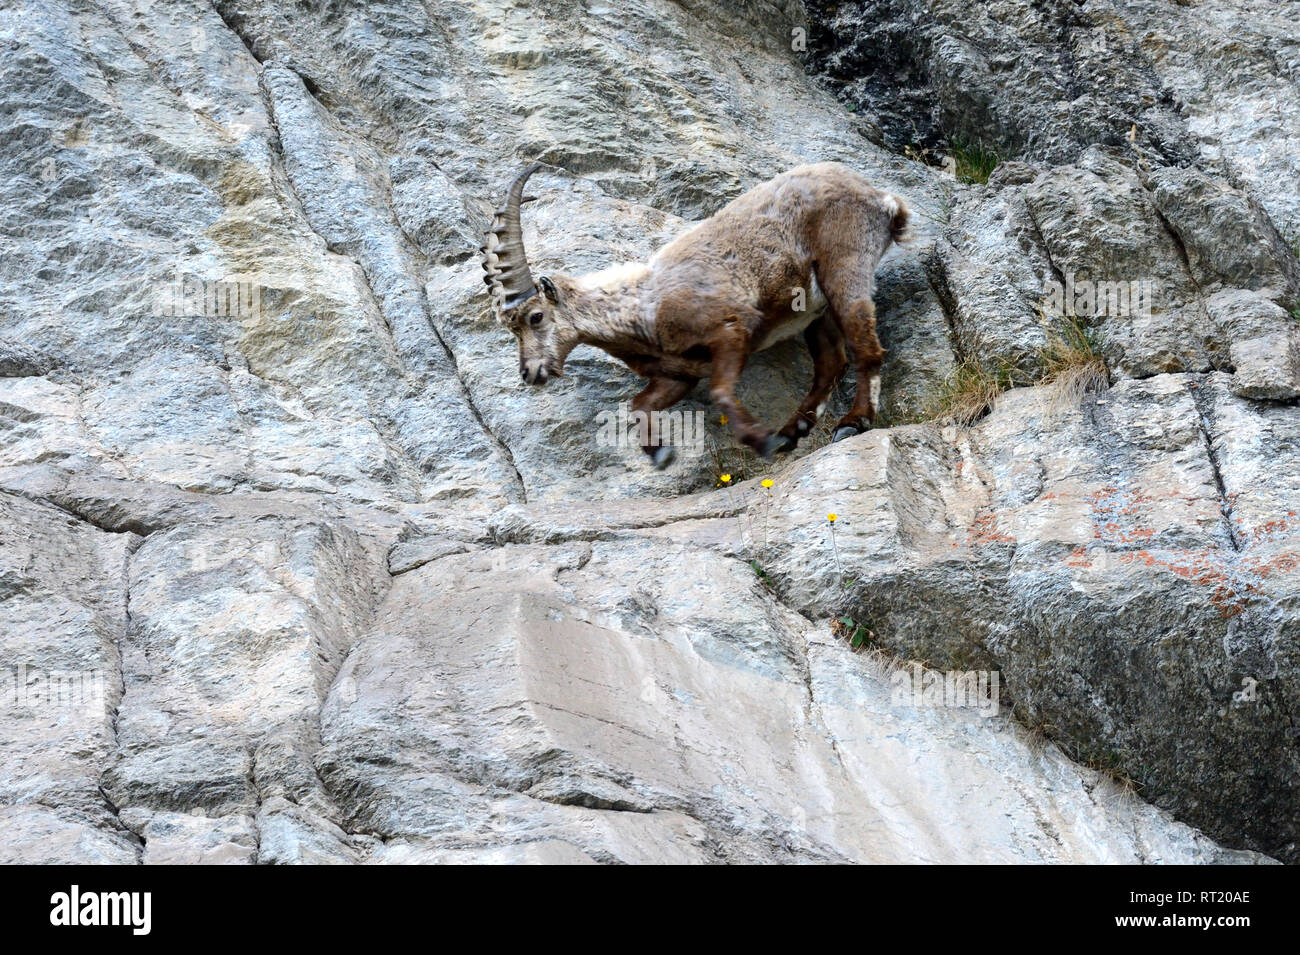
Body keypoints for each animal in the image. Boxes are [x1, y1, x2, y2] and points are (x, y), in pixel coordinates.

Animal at [481, 162, 909, 468]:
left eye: (535, 317)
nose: (529, 373)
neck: (642, 308)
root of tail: (882, 199)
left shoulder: (732, 329)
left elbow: (719, 391)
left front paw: (761, 440)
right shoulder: (678, 375)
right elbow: (638, 406)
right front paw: (659, 453)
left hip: (845, 267)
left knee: (866, 350)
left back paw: (852, 423)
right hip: (816, 309)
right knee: (831, 362)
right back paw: (794, 430)